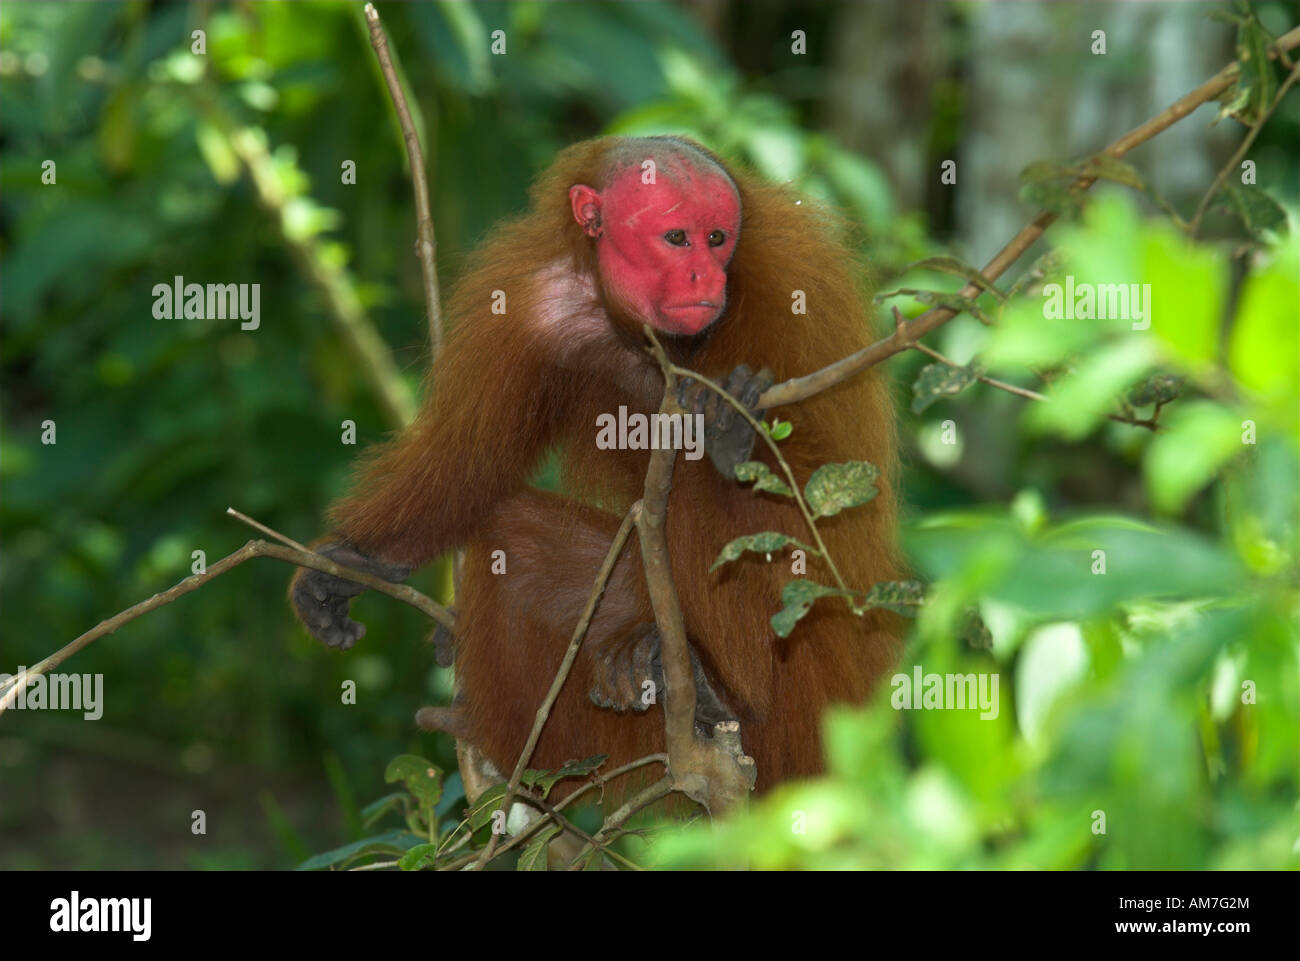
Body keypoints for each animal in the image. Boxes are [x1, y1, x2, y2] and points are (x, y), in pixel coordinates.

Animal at [291, 135, 900, 797]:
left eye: (718, 239)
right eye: (678, 239)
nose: (706, 275)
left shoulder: (788, 292)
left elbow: (825, 504)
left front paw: (731, 434)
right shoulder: (526, 299)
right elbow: (466, 465)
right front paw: (355, 562)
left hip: (813, 697)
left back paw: (712, 685)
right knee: (514, 541)